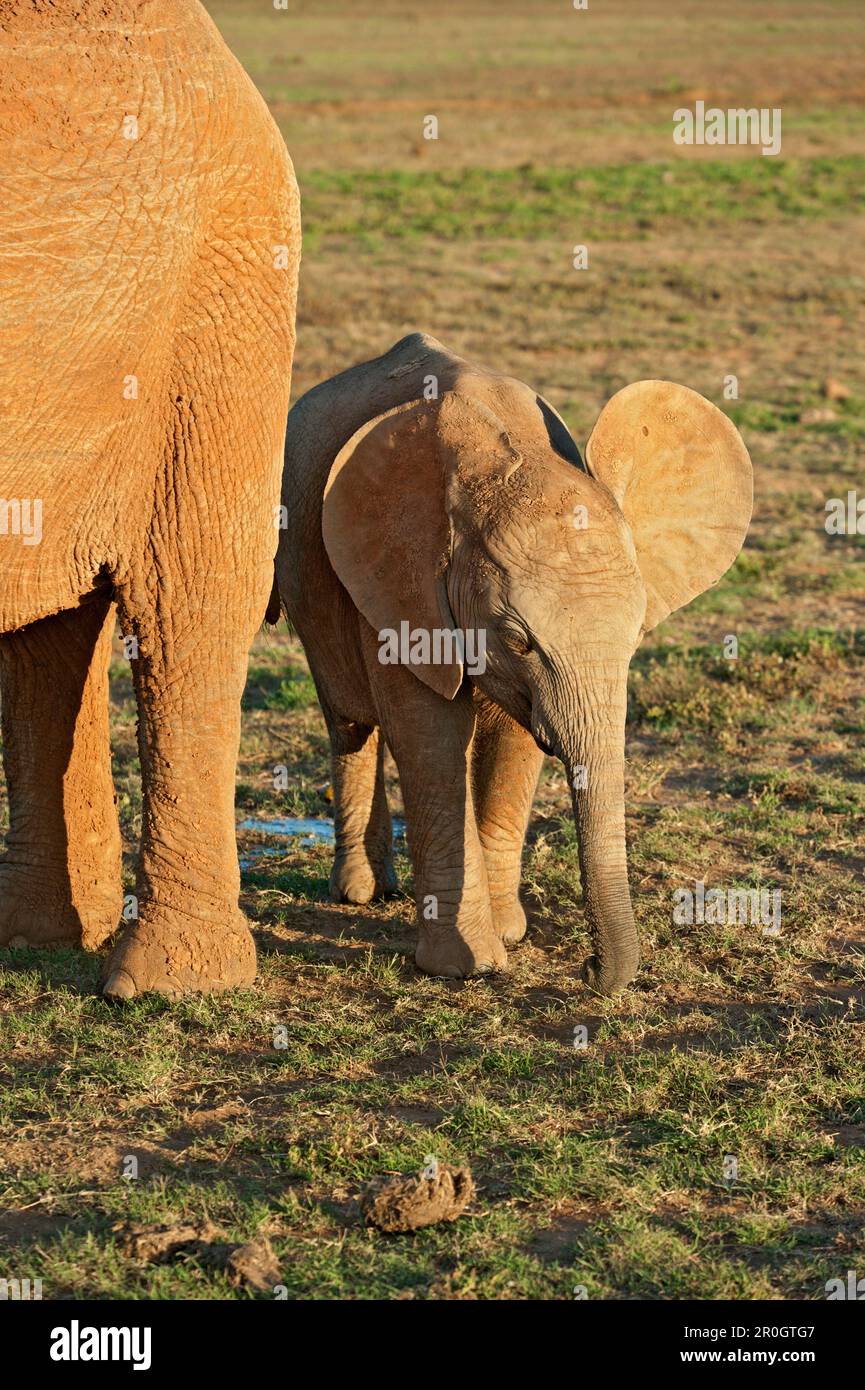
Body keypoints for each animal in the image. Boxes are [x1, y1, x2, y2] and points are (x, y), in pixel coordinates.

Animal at [273, 333, 752, 992]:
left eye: (633, 639)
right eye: (517, 639)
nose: (590, 968)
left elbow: (517, 742)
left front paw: (508, 937)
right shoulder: (401, 581)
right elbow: (432, 738)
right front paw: (464, 966)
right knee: (349, 720)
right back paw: (362, 894)